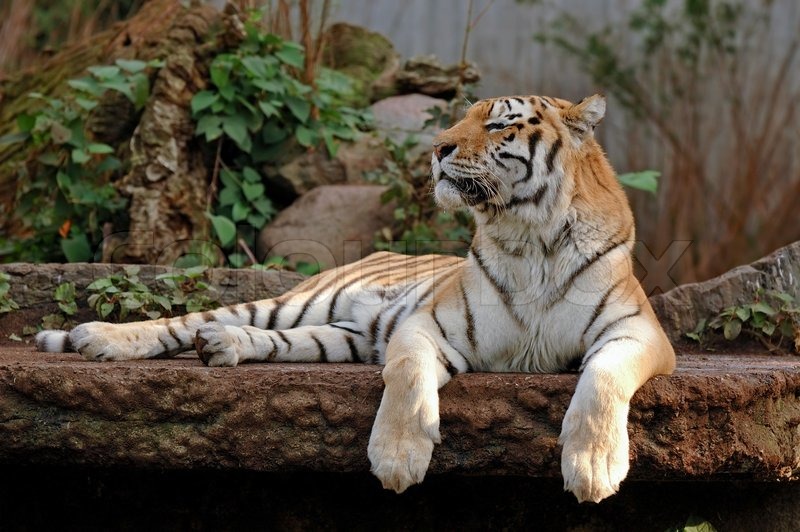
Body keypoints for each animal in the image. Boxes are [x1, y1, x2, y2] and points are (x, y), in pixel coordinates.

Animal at [36, 93, 676, 503]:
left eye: (498, 126)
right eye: (459, 119)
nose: (437, 149)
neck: (530, 237)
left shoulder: (637, 332)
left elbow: (602, 382)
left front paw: (593, 467)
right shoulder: (428, 325)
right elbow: (408, 380)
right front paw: (397, 459)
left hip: (338, 336)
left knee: (269, 339)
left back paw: (221, 347)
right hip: (305, 302)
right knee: (183, 320)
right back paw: (99, 338)